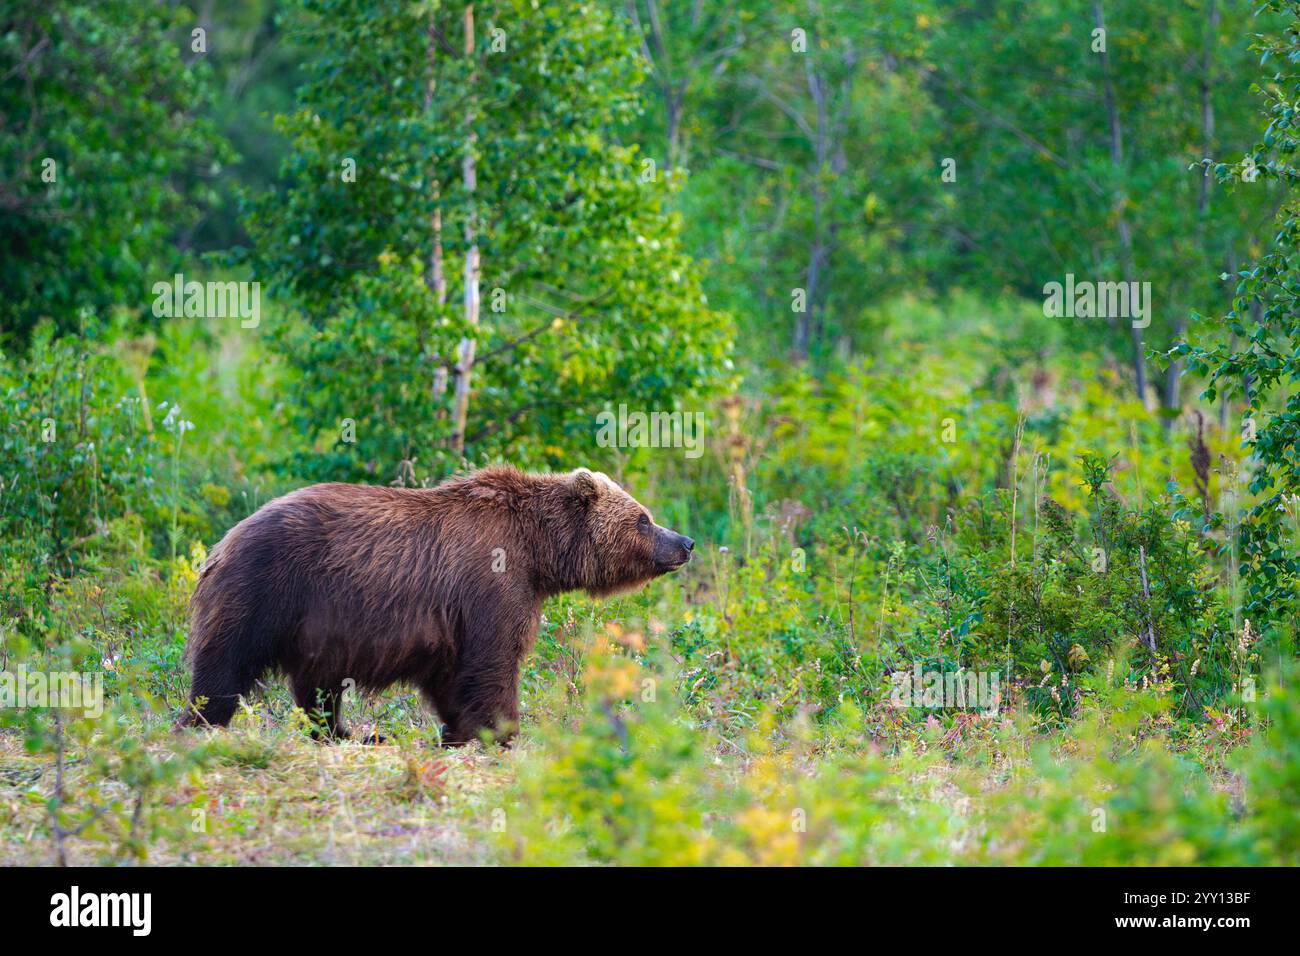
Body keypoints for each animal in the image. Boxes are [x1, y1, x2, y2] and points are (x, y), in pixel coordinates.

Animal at [177, 466, 693, 745]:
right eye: (643, 517)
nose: (685, 542)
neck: (539, 551)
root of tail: (223, 541)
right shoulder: (492, 583)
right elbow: (493, 660)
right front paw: (502, 732)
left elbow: (453, 676)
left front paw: (457, 733)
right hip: (268, 588)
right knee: (227, 663)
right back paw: (201, 720)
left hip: (315, 625)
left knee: (318, 687)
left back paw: (346, 731)